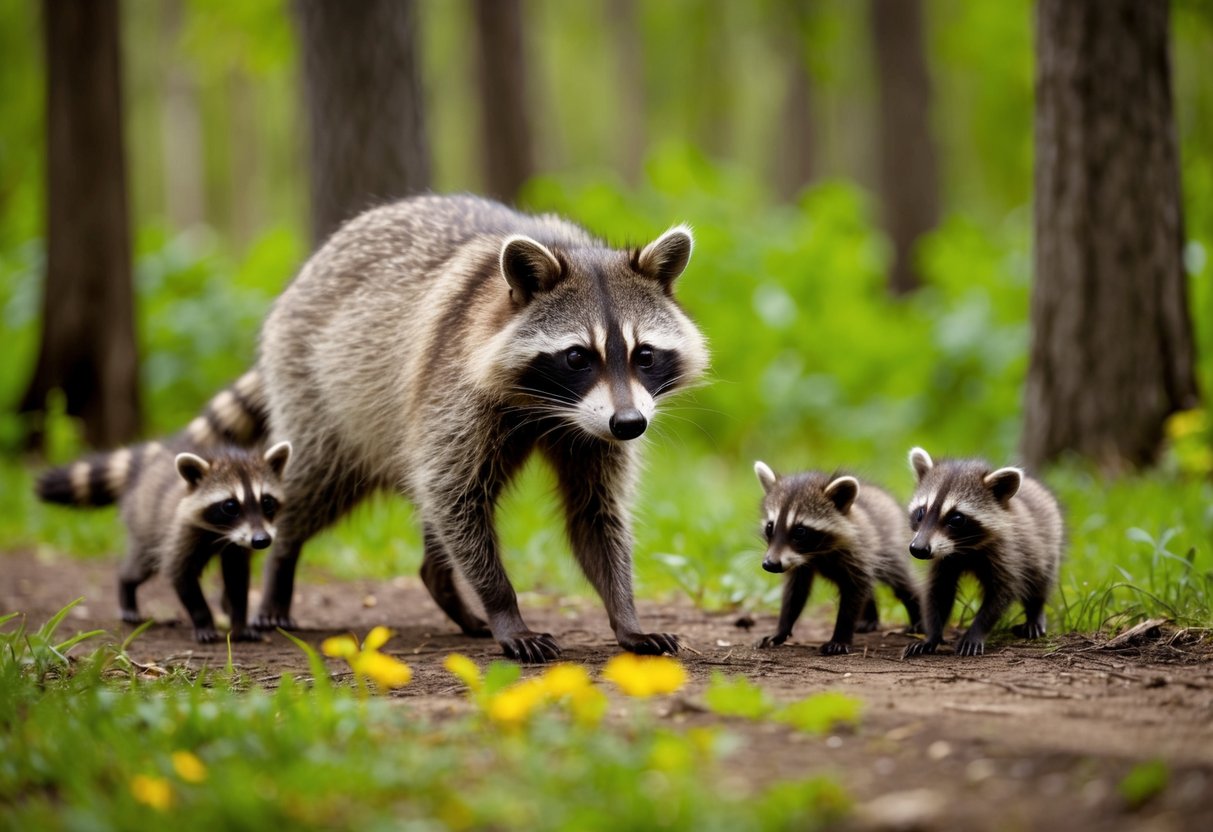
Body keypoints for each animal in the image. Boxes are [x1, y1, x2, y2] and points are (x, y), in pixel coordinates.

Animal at [37, 441, 291, 643]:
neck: (222, 534)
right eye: (230, 506)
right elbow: (179, 572)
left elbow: (237, 579)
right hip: (144, 526)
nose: (261, 540)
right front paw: (204, 621)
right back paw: (126, 590)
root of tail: (145, 468)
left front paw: (240, 622)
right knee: (138, 569)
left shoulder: (237, 545)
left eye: (267, 502)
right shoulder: (180, 532)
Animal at [179, 194, 709, 662]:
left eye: (644, 355)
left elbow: (595, 512)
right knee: (321, 482)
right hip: (323, 393)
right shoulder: (454, 386)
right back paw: (281, 563)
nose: (630, 424)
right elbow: (455, 494)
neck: (549, 409)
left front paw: (625, 614)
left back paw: (444, 586)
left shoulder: (594, 431)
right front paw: (503, 605)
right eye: (577, 357)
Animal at [753, 462, 922, 655]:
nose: (769, 564)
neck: (813, 554)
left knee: (900, 581)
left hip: (888, 546)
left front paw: (840, 636)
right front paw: (781, 629)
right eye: (770, 527)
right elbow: (795, 593)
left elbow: (854, 594)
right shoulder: (796, 563)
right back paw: (869, 617)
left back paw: (918, 616)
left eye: (800, 531)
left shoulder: (858, 551)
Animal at [901, 447, 1064, 658]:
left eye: (956, 519)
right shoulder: (943, 559)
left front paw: (975, 632)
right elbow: (939, 591)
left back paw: (1035, 613)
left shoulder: (1009, 553)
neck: (963, 549)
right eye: (921, 512)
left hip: (1047, 545)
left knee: (1040, 580)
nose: (918, 549)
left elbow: (1001, 595)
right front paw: (932, 635)